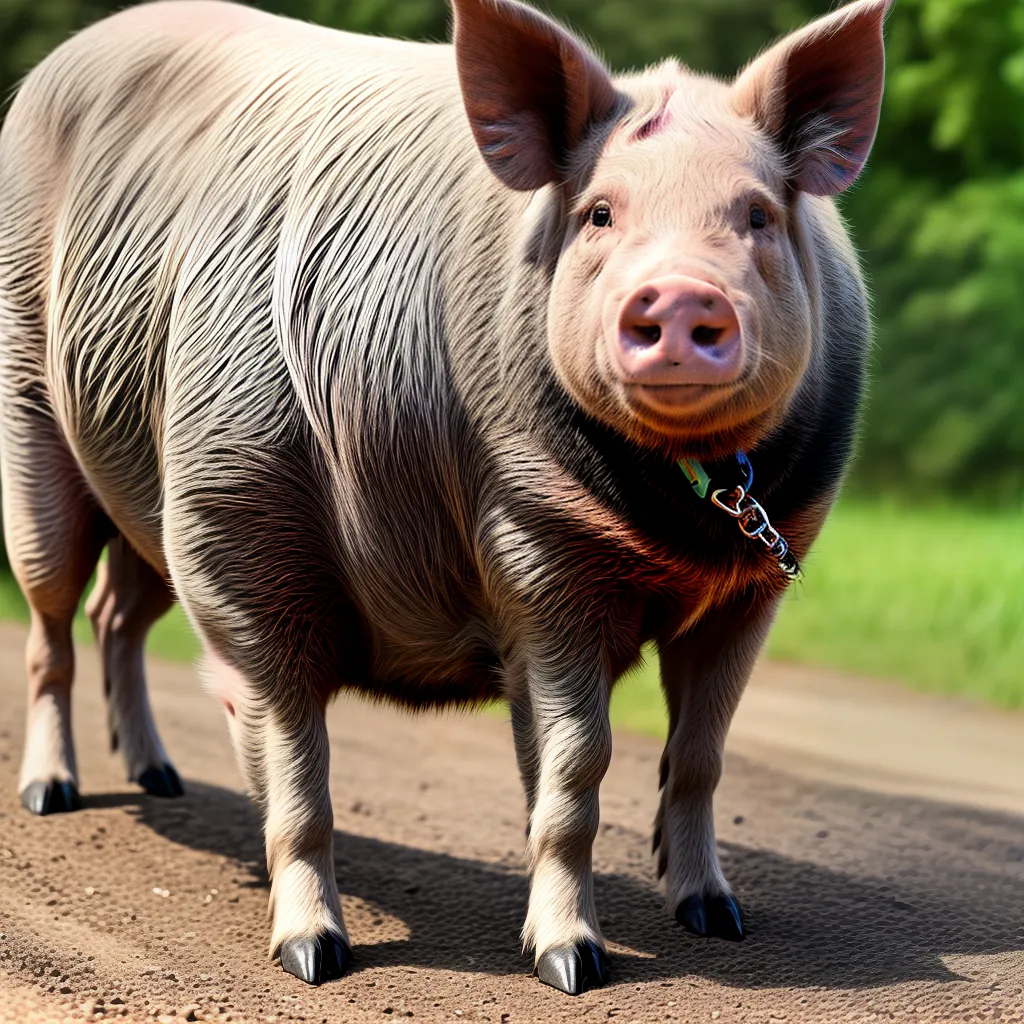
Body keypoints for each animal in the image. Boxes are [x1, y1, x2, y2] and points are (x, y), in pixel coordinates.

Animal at [0, 0, 890, 994]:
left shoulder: (752, 585)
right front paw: (553, 967)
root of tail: (60, 62)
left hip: (148, 503)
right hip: (41, 415)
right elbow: (556, 768)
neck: (675, 503)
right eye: (600, 213)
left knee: (118, 612)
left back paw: (159, 776)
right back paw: (57, 797)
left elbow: (691, 755)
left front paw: (716, 921)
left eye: (758, 215)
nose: (680, 291)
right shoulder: (522, 548)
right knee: (51, 621)